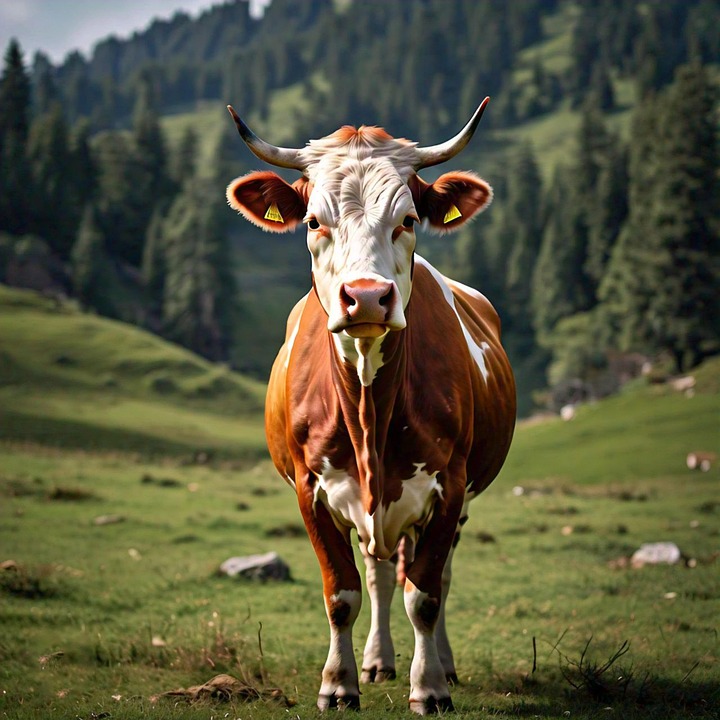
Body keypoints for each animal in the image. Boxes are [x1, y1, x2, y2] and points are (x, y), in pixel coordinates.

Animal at [226, 98, 516, 714]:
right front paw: (338, 684)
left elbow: (426, 594)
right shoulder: (310, 488)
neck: (369, 409)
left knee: (434, 578)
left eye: (407, 220)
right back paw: (378, 661)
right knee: (381, 575)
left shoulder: (449, 486)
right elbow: (342, 592)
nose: (365, 297)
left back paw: (442, 665)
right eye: (314, 221)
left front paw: (429, 688)